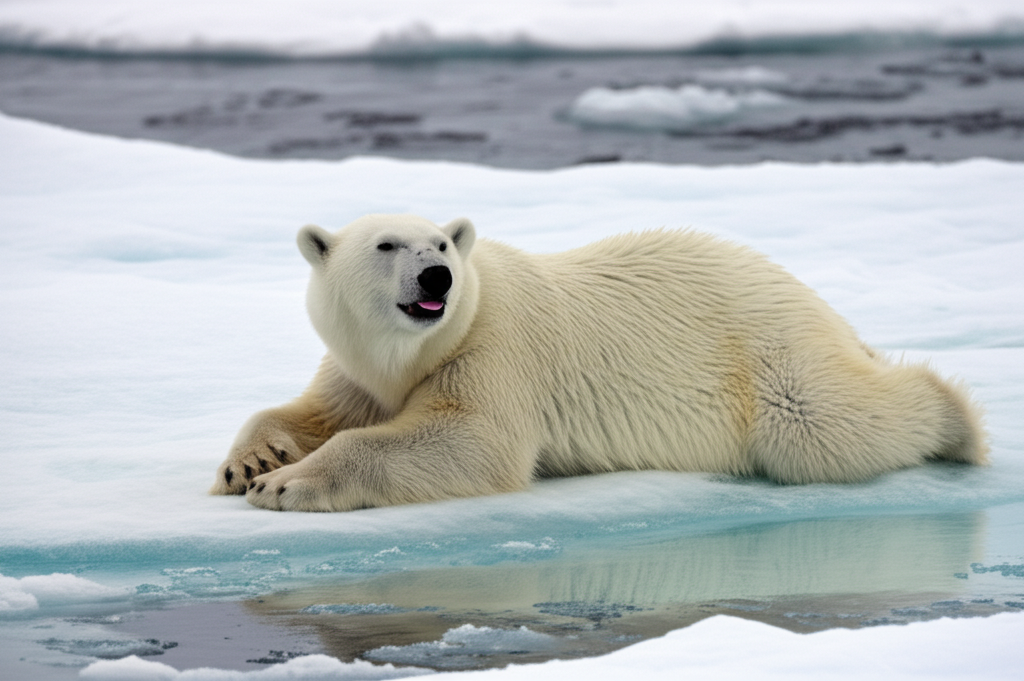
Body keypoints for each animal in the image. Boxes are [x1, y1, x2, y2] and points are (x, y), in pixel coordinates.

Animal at [211, 214, 988, 512]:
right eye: (387, 245)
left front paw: (285, 484)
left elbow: (475, 438)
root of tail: (820, 305)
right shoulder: (360, 373)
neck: (415, 353)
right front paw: (249, 464)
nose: (438, 277)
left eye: (443, 242)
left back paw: (959, 422)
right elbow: (314, 410)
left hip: (771, 354)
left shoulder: (493, 345)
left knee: (820, 423)